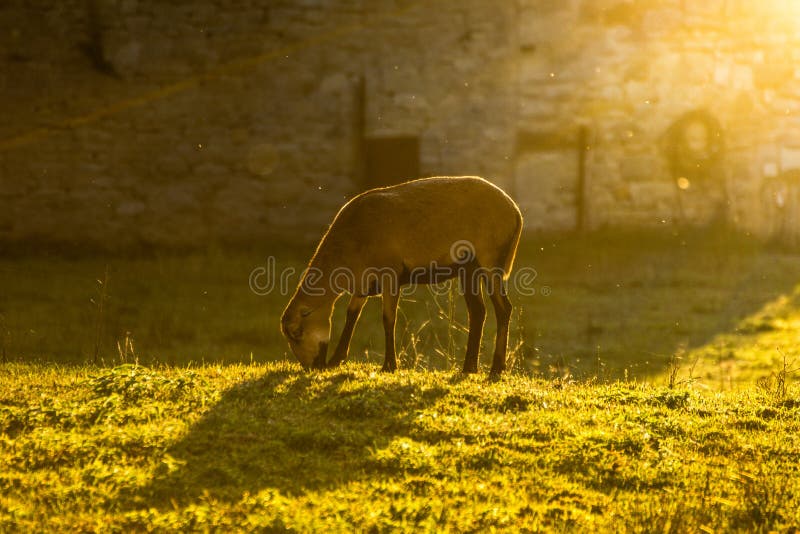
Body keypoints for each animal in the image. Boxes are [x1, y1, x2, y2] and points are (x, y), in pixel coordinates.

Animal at [280, 175, 523, 375]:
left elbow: (388, 319)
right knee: (478, 311)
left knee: (503, 309)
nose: (312, 366)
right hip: (468, 267)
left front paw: (389, 365)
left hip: (491, 259)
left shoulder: (390, 274)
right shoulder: (364, 282)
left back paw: (496, 368)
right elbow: (351, 315)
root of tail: (515, 211)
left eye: (296, 332)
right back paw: (469, 367)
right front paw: (336, 360)